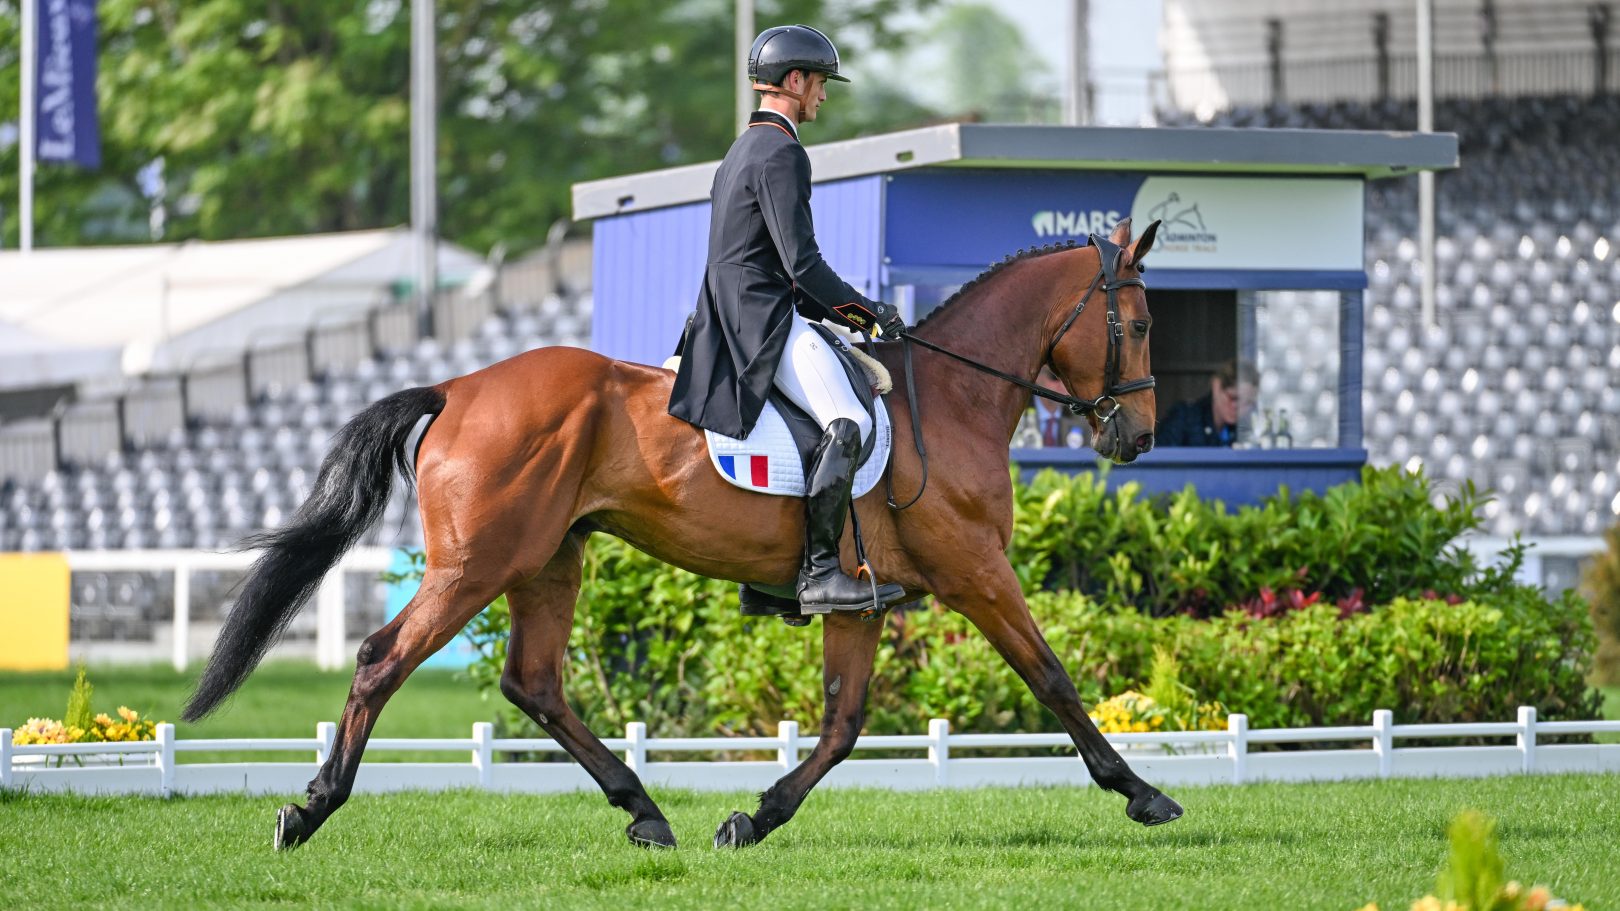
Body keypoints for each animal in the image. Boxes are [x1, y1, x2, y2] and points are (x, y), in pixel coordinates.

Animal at [182, 217, 1182, 851]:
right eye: (1137, 323)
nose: (1136, 436)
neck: (952, 396)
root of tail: (458, 386)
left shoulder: (861, 600)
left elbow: (843, 722)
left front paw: (753, 818)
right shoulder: (979, 571)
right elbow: (1053, 678)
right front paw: (1143, 794)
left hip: (548, 560)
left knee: (533, 681)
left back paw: (645, 811)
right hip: (476, 566)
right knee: (383, 658)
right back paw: (311, 808)